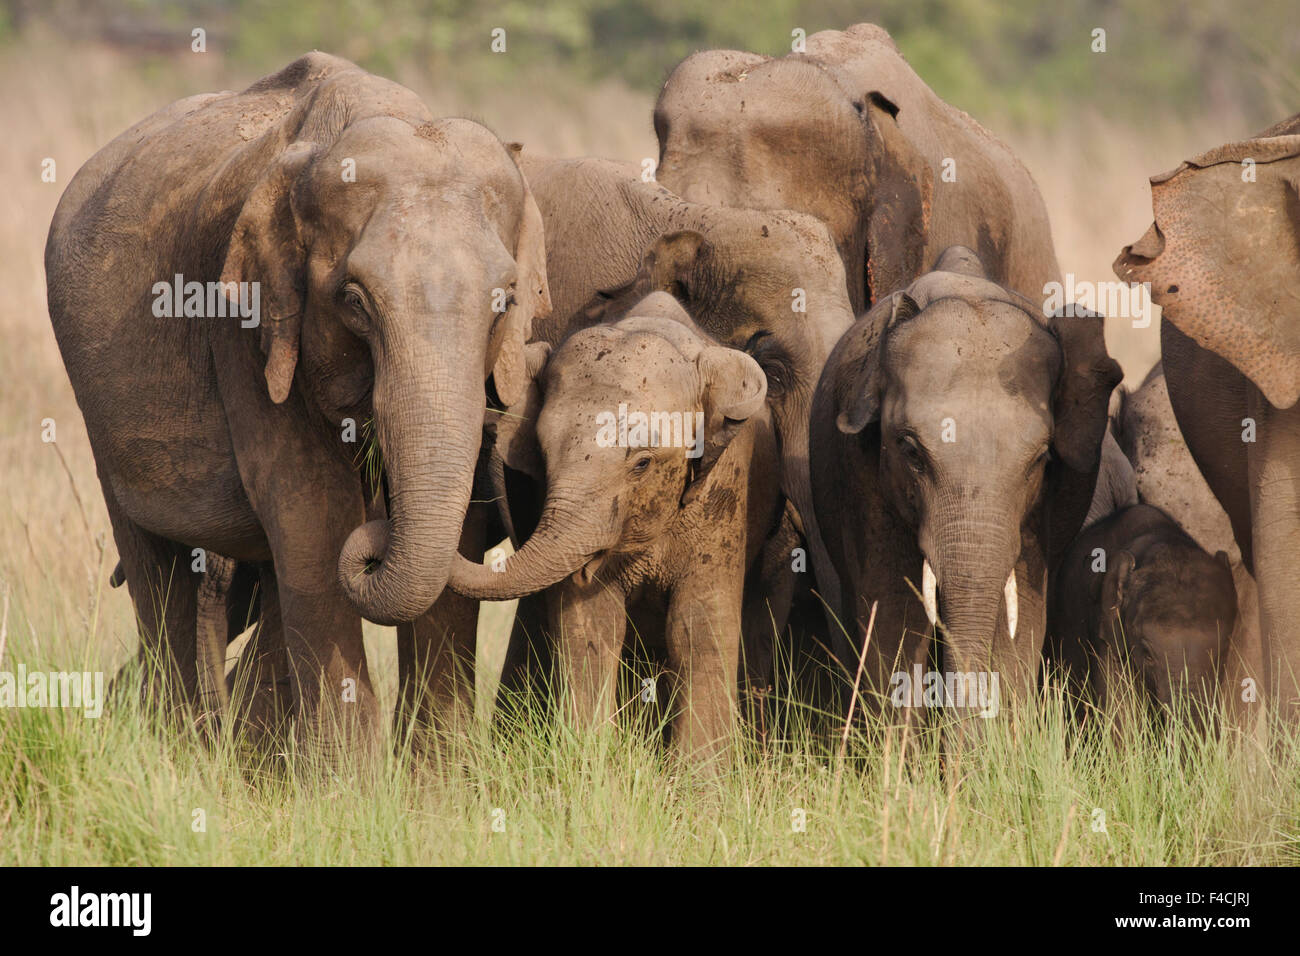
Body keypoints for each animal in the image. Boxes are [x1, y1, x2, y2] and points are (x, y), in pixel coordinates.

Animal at [45, 54, 551, 741]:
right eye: (355, 300)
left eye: (506, 299)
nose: (377, 533)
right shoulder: (243, 328)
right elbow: (309, 511)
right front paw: (351, 773)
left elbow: (458, 514)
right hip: (98, 405)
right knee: (155, 562)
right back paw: (181, 748)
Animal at [448, 293, 779, 762]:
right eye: (541, 455)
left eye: (642, 463)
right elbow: (591, 624)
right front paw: (589, 763)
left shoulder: (726, 488)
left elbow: (695, 626)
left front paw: (700, 778)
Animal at [808, 246, 1121, 726]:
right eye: (911, 451)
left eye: (1041, 460)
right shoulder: (862, 477)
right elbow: (893, 615)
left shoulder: (1037, 516)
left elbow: (1018, 620)